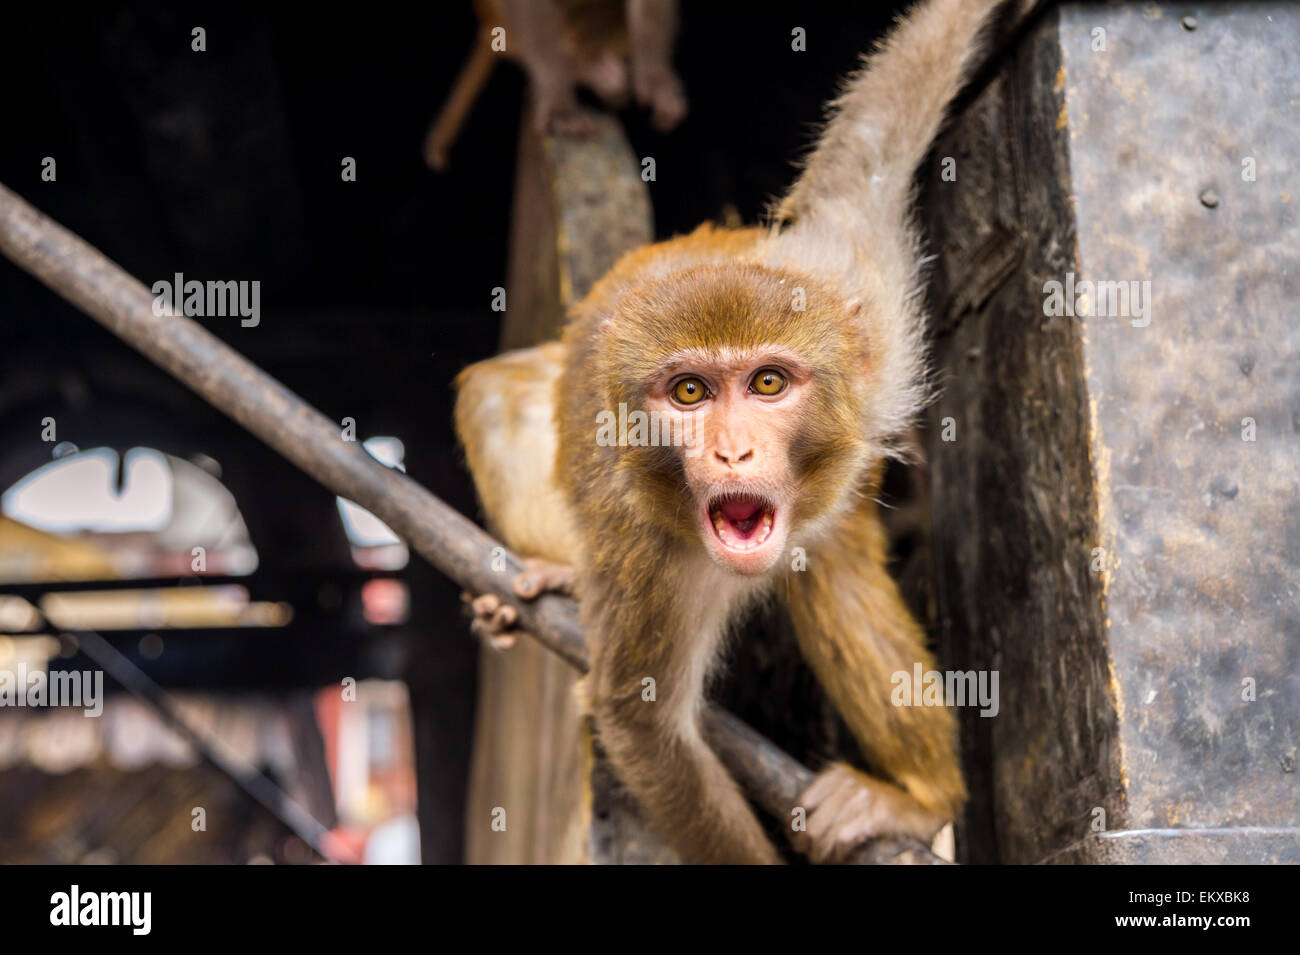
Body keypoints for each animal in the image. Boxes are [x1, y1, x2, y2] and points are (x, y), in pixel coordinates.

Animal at [454, 0, 1007, 863]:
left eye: (768, 383)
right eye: (690, 392)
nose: (733, 448)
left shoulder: (852, 290)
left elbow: (871, 141)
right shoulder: (640, 541)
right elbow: (642, 720)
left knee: (832, 574)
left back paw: (919, 798)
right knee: (491, 396)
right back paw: (556, 572)